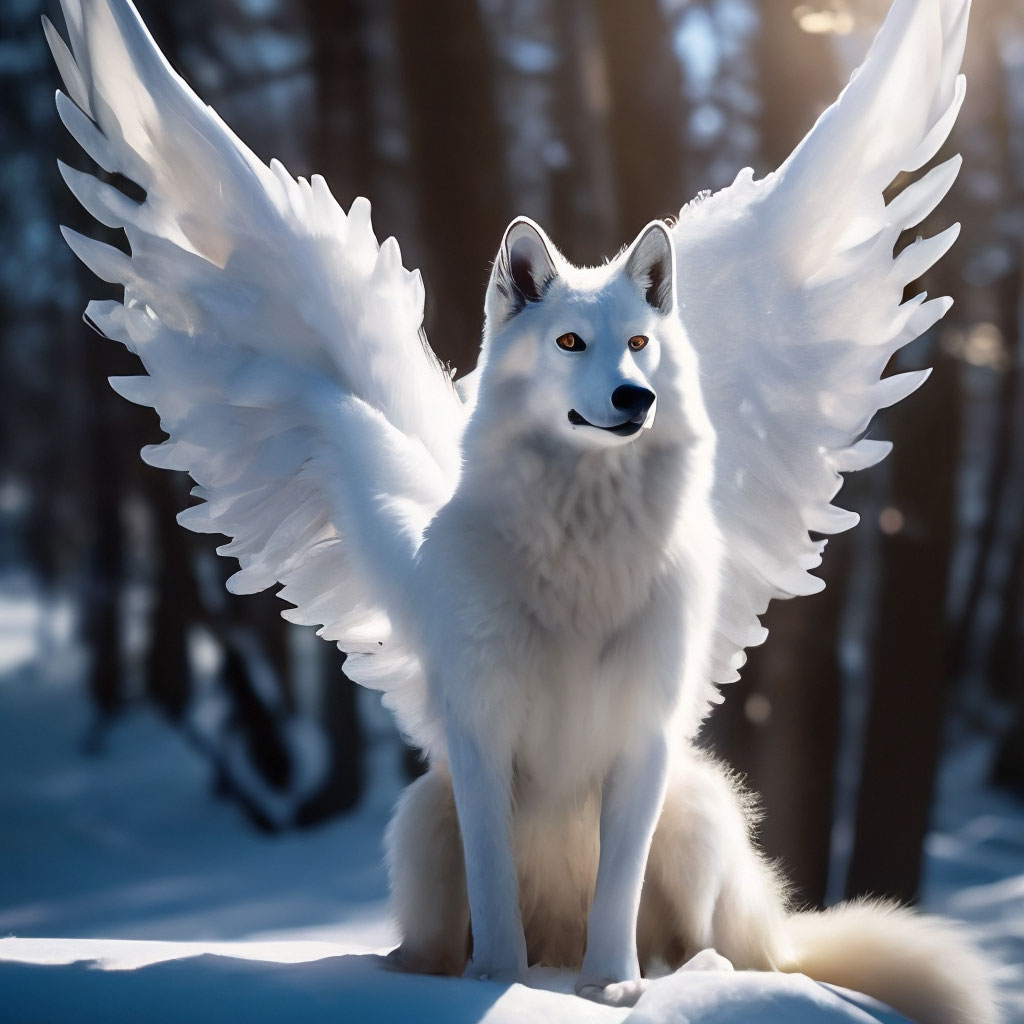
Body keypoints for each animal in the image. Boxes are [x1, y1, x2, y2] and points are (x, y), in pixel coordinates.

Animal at [46, 0, 998, 1020]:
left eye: (640, 344)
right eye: (570, 342)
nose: (634, 399)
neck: (579, 536)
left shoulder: (642, 742)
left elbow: (616, 898)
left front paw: (610, 989)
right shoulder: (481, 738)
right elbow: (494, 888)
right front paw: (497, 986)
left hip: (696, 812)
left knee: (723, 951)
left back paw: (677, 977)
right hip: (425, 820)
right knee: (435, 935)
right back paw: (436, 973)